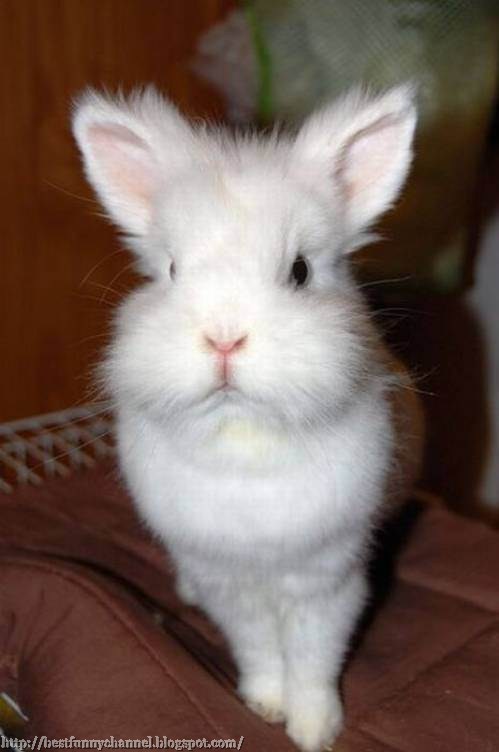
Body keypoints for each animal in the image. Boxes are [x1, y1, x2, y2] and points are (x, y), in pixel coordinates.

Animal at [72, 83, 422, 752]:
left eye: (301, 271)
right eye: (172, 270)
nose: (224, 338)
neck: (243, 436)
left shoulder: (324, 577)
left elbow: (314, 656)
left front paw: (313, 729)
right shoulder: (227, 579)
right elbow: (257, 647)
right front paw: (263, 704)